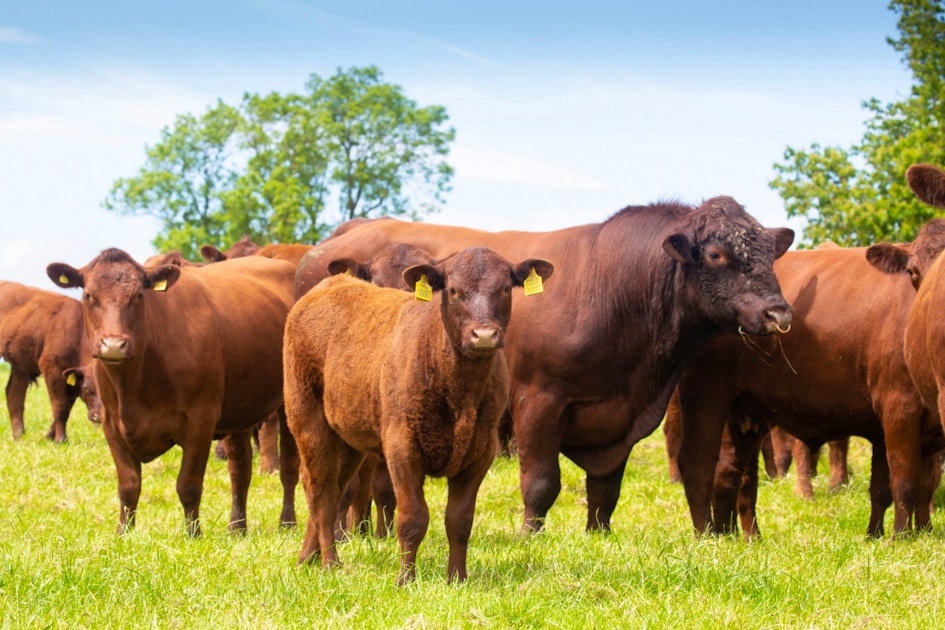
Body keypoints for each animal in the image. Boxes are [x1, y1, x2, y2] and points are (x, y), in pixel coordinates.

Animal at [0, 281, 100, 442]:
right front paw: (61, 439)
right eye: (86, 388)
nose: (98, 417)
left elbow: (67, 405)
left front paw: (49, 436)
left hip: (21, 365)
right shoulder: (52, 369)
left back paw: (19, 437)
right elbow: (60, 406)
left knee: (14, 395)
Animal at [46, 249, 298, 536]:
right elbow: (128, 485)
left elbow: (188, 484)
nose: (113, 345)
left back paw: (287, 523)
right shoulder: (111, 423)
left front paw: (193, 535)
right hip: (242, 407)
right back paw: (237, 528)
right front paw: (124, 533)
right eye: (89, 295)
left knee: (289, 467)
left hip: (289, 403)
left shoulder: (201, 420)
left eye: (139, 295)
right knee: (240, 470)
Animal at [284, 247, 554, 584]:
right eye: (453, 290)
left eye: (506, 288)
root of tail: (329, 285)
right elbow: (413, 518)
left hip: (347, 438)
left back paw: (307, 557)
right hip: (306, 418)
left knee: (332, 490)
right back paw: (330, 563)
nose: (484, 335)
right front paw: (406, 579)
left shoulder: (481, 452)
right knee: (320, 489)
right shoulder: (402, 447)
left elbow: (459, 520)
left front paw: (457, 578)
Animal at [292, 196, 794, 533]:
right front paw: (529, 535)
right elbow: (541, 482)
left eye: (771, 254)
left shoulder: (620, 421)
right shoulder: (538, 400)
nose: (778, 312)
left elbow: (606, 489)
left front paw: (598, 535)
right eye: (716, 255)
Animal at [673, 245, 945, 540]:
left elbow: (904, 487)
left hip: (746, 412)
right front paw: (900, 538)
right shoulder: (900, 410)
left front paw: (906, 532)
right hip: (705, 394)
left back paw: (739, 537)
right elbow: (905, 481)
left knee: (734, 471)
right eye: (912, 271)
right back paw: (707, 536)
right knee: (697, 462)